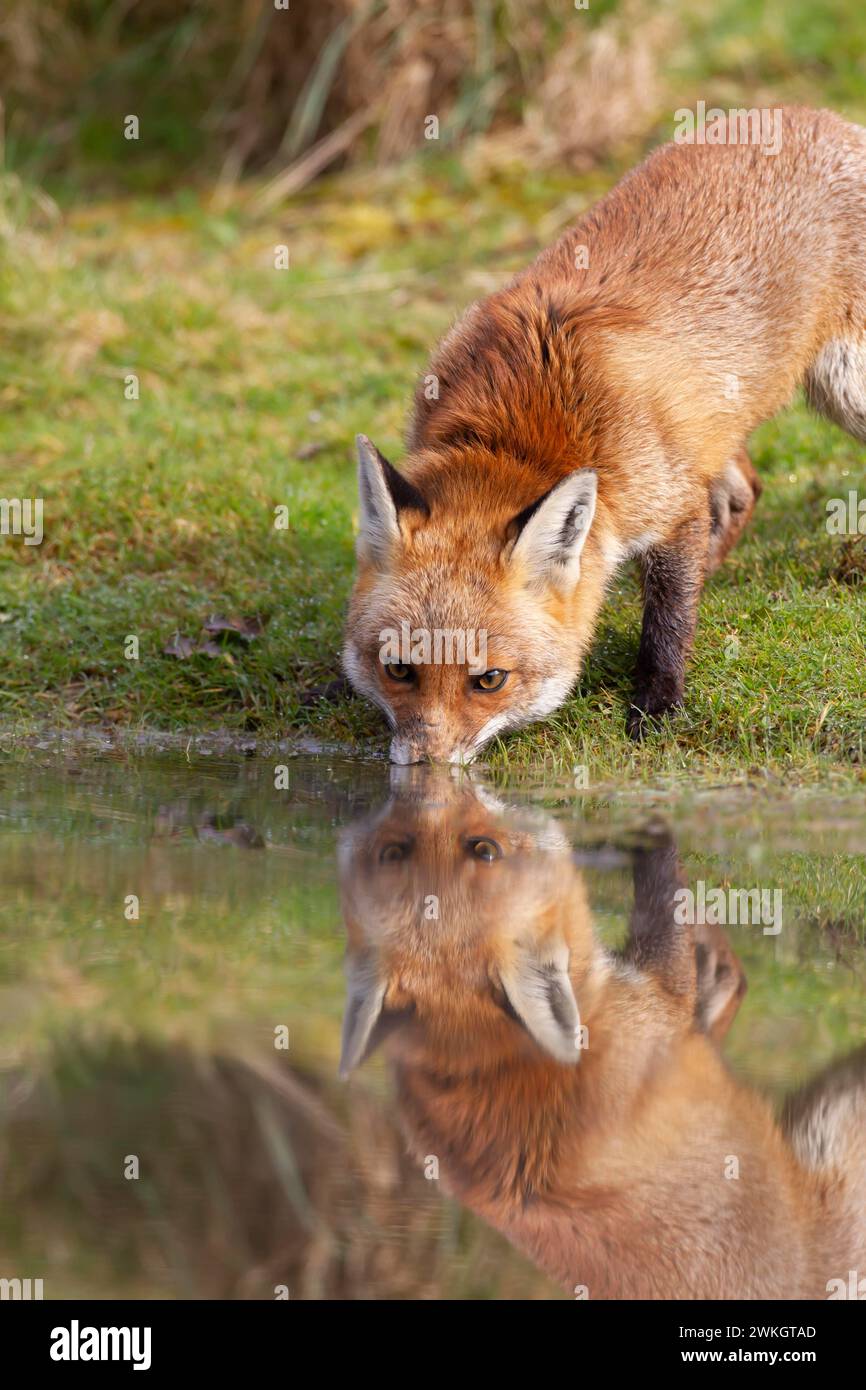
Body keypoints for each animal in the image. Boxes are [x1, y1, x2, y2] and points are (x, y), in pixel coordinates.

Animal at [338, 773, 866, 1299]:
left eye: (392, 851)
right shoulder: (661, 992)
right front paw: (653, 825)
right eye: (487, 850)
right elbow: (671, 894)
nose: (423, 782)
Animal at [343, 106, 866, 763]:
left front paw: (657, 705)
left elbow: (667, 621)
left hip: (845, 387)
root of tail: (824, 115)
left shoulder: (670, 507)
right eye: (398, 670)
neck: (518, 435)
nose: (425, 767)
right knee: (745, 489)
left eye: (489, 680)